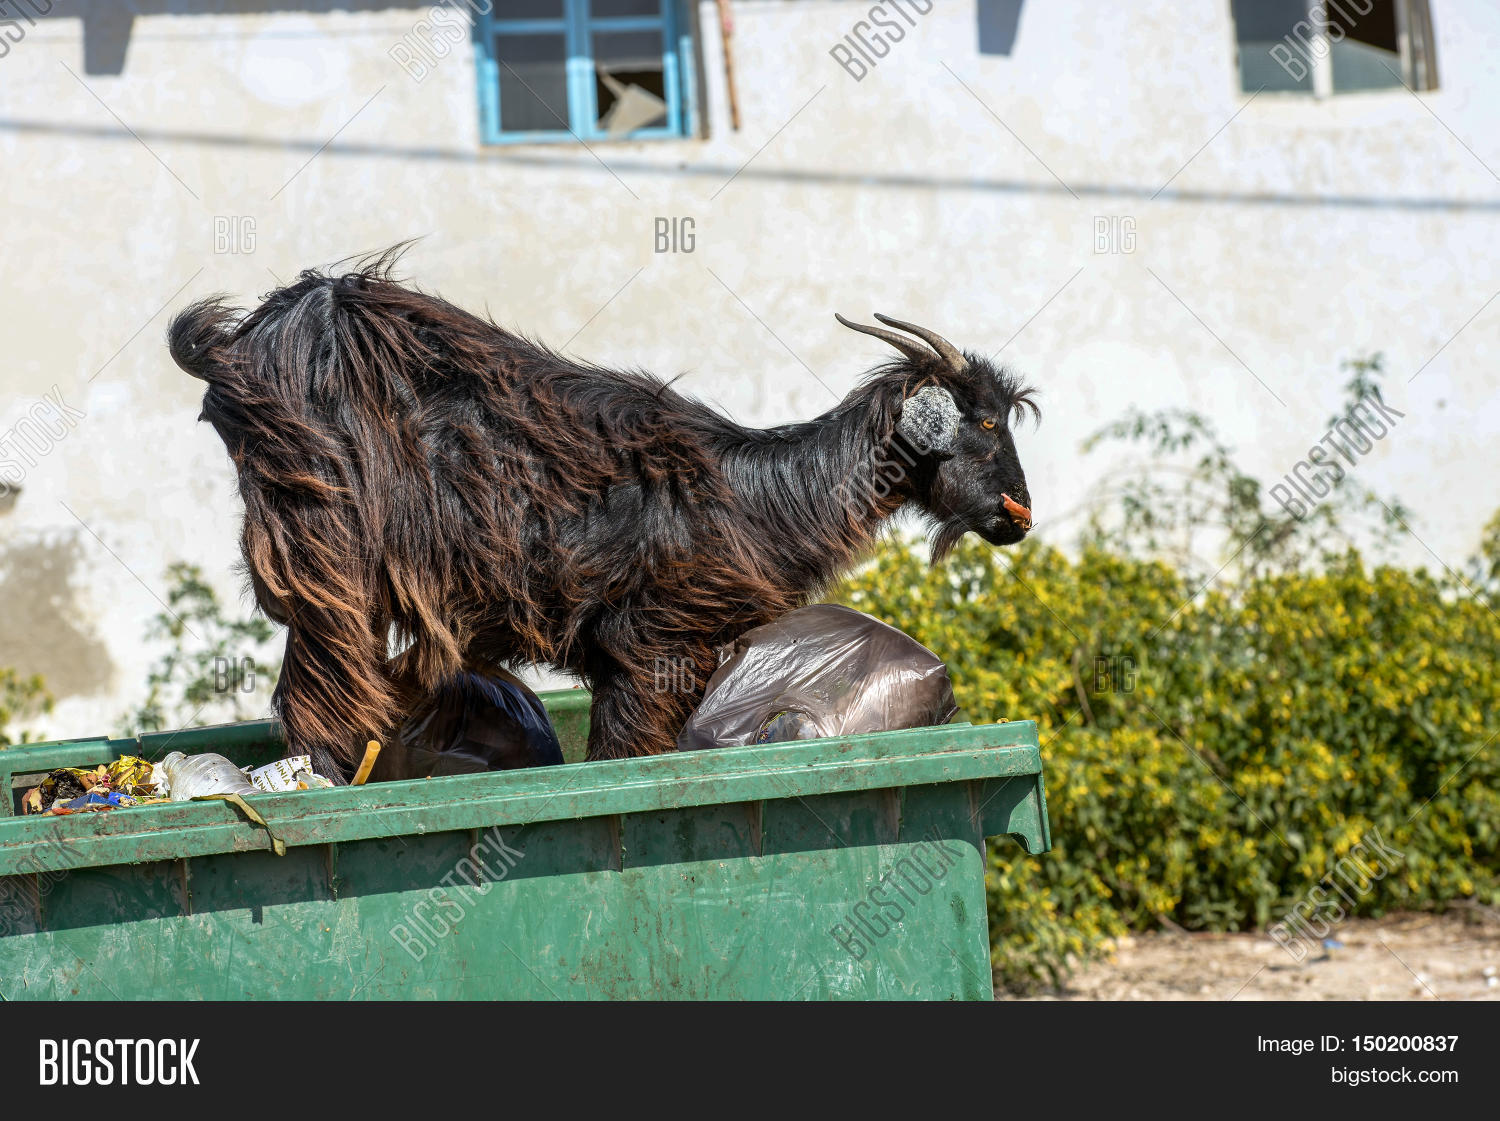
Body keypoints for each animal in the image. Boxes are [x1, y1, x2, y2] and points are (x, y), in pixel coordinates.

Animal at [168, 250, 1038, 779]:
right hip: (328, 553)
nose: (1020, 515)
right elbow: (623, 756)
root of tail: (241, 348)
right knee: (316, 692)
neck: (762, 492)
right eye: (984, 420)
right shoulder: (649, 644)